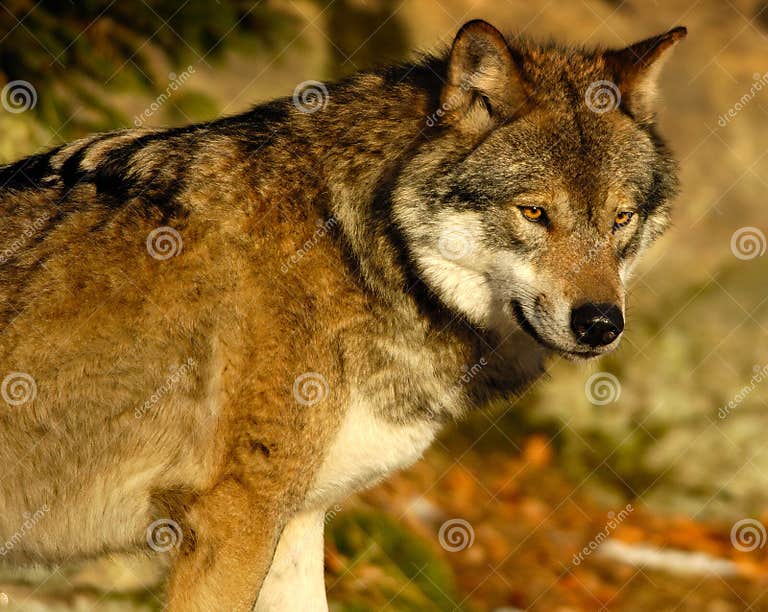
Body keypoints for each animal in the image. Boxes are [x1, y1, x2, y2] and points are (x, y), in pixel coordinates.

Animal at [0, 19, 685, 611]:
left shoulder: (296, 519)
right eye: (534, 212)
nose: (599, 323)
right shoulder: (230, 518)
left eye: (620, 218)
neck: (354, 248)